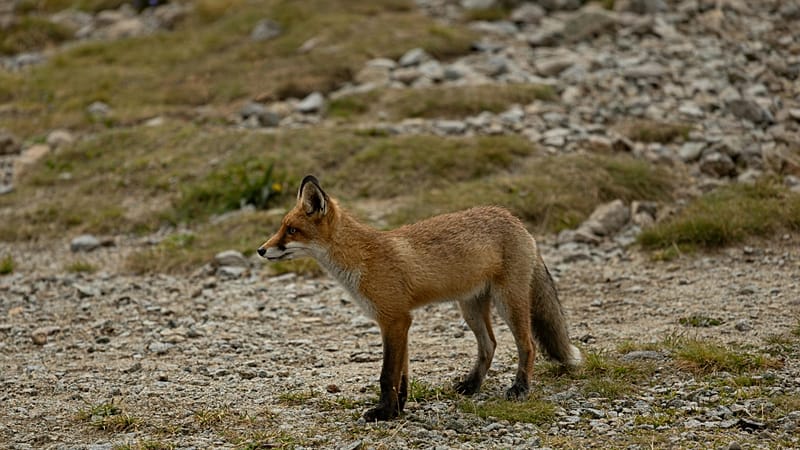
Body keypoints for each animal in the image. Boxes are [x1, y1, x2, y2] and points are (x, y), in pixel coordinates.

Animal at [257, 175, 582, 421]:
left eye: (292, 230)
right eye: (281, 227)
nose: (261, 250)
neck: (362, 259)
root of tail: (516, 220)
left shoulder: (395, 320)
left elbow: (387, 375)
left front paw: (383, 414)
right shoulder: (399, 322)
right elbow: (401, 376)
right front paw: (397, 410)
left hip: (508, 302)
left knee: (527, 345)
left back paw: (520, 388)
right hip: (470, 307)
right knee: (489, 345)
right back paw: (472, 385)